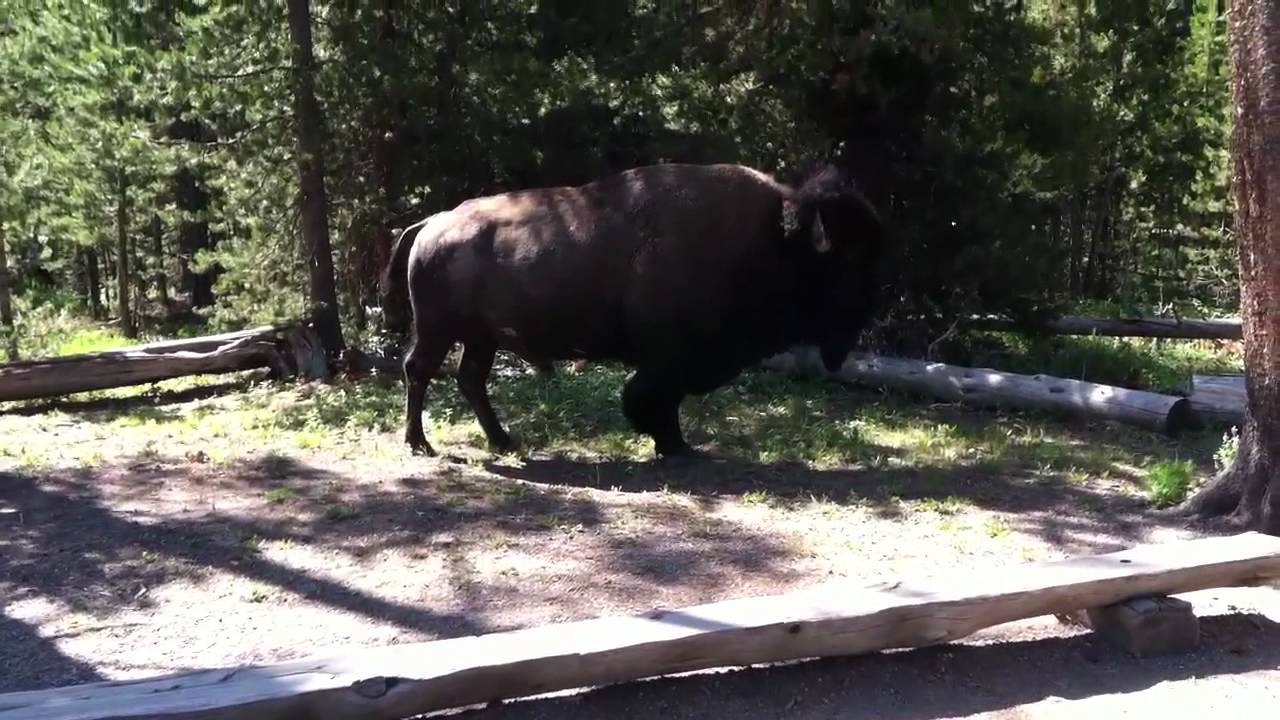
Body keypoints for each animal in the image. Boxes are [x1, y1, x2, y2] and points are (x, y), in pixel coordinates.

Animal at [380, 162, 884, 458]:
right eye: (849, 260)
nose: (869, 310)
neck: (775, 239)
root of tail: (432, 223)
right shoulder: (669, 359)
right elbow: (651, 396)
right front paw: (673, 445)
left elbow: (664, 399)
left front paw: (674, 444)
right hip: (439, 330)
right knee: (419, 371)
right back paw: (420, 445)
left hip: (480, 338)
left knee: (469, 379)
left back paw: (502, 441)